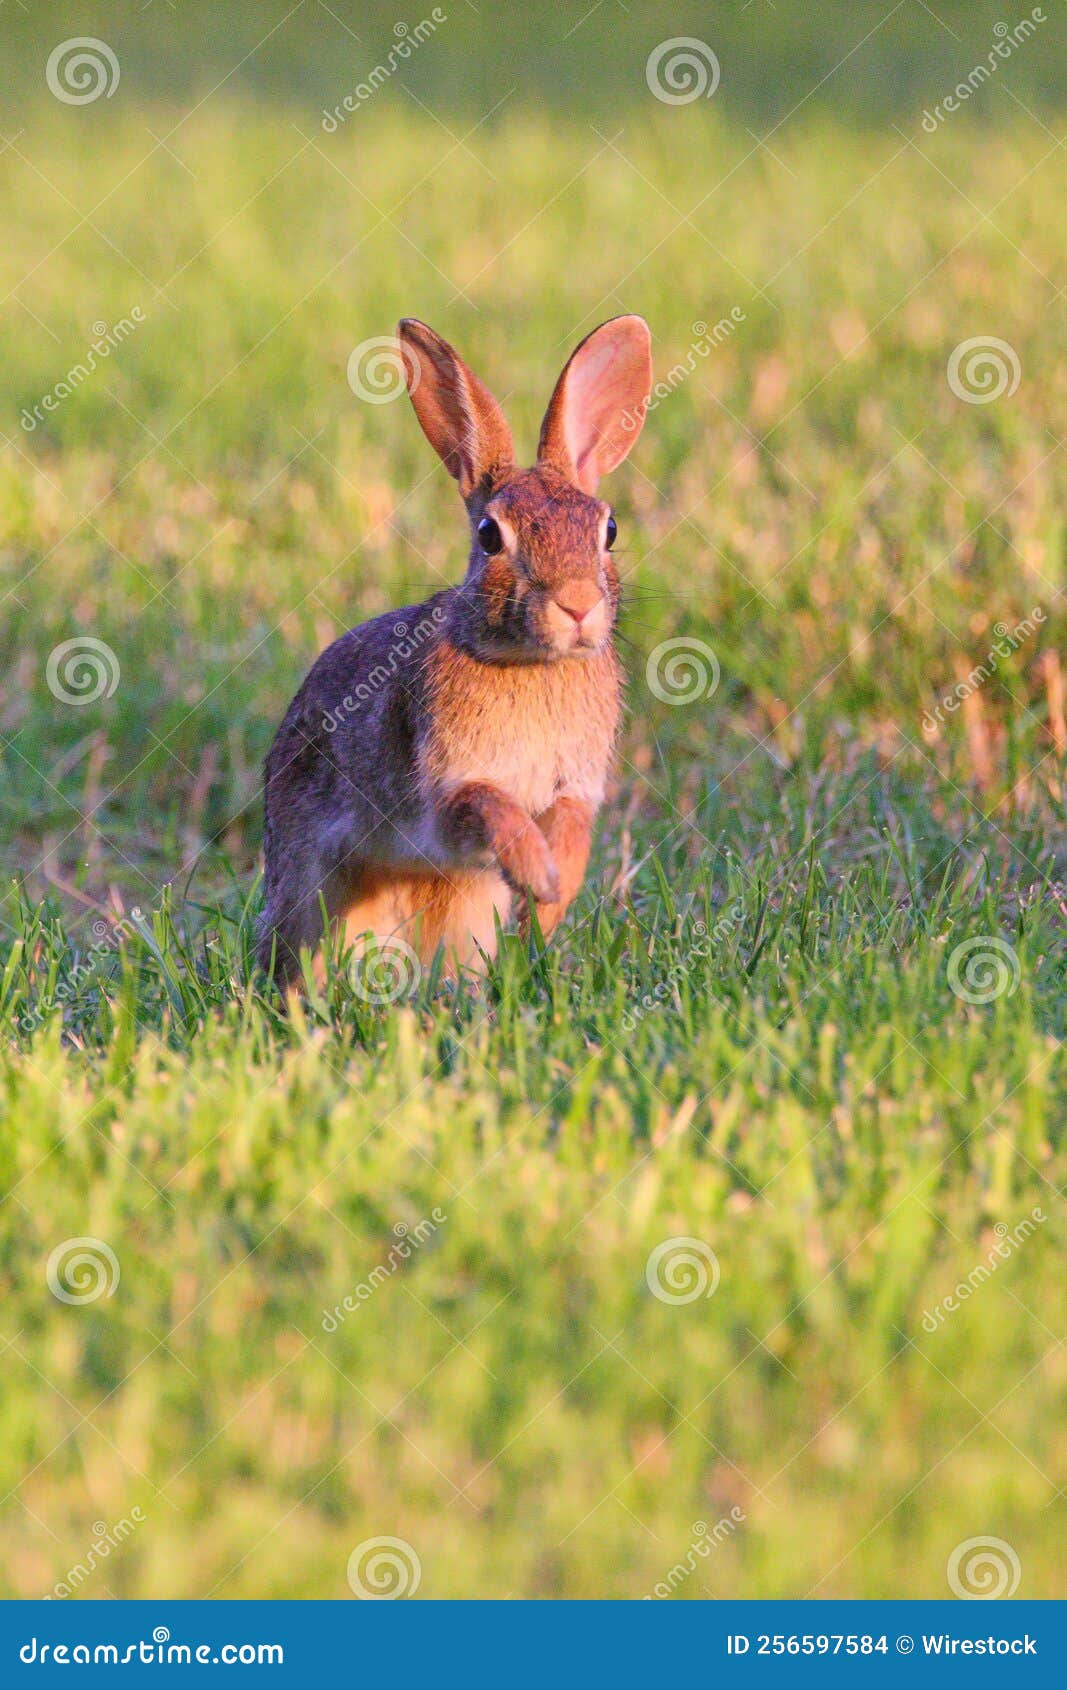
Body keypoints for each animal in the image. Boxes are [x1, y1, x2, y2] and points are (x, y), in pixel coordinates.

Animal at [257, 313, 653, 987]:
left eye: (609, 528)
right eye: (490, 536)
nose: (576, 605)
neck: (528, 662)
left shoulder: (575, 784)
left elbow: (573, 827)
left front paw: (552, 899)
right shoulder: (445, 795)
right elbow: (488, 803)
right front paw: (537, 873)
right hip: (307, 890)